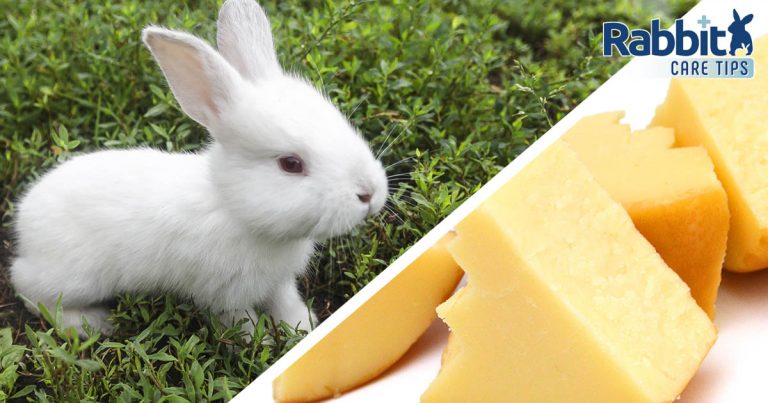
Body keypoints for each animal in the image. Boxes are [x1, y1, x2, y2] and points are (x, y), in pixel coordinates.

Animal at [9, 0, 387, 337]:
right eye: (291, 164)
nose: (369, 194)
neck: (234, 209)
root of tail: (25, 218)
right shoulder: (222, 293)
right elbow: (240, 322)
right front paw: (259, 342)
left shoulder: (279, 282)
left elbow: (285, 302)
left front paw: (303, 328)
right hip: (75, 278)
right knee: (29, 290)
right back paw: (90, 324)